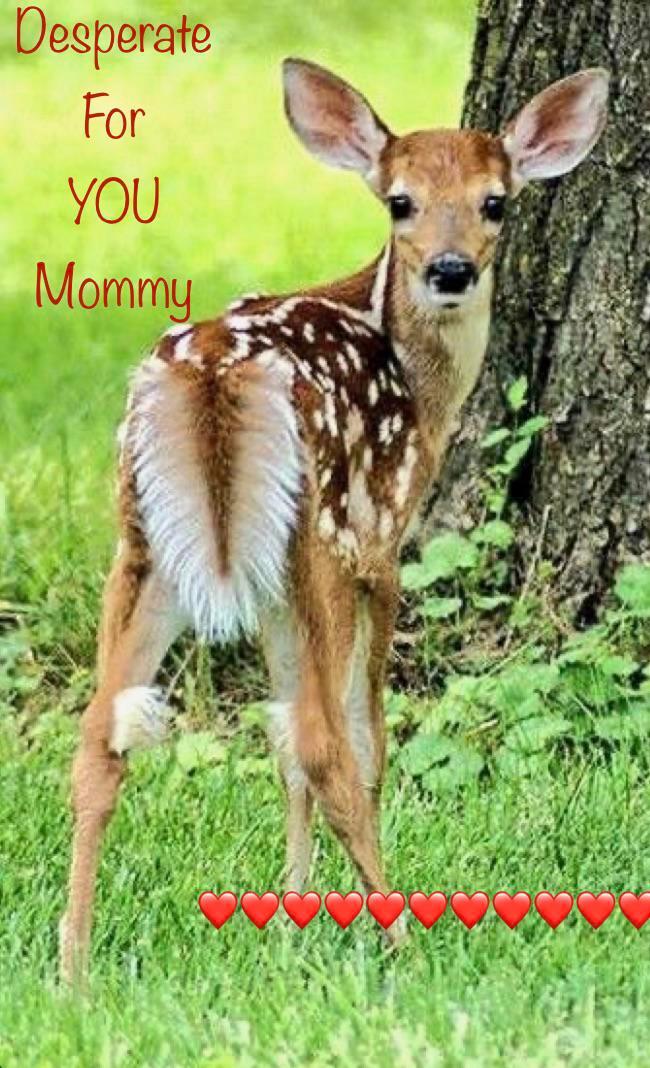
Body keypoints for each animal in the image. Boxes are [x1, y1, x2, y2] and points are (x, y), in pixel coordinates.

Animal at [59, 58, 608, 982]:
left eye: (496, 201)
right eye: (400, 201)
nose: (451, 270)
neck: (421, 387)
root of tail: (211, 376)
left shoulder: (271, 587)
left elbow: (280, 746)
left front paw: (288, 920)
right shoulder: (380, 544)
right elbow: (366, 737)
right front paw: (320, 917)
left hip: (146, 541)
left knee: (103, 735)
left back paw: (72, 973)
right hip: (312, 533)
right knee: (330, 744)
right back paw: (404, 940)